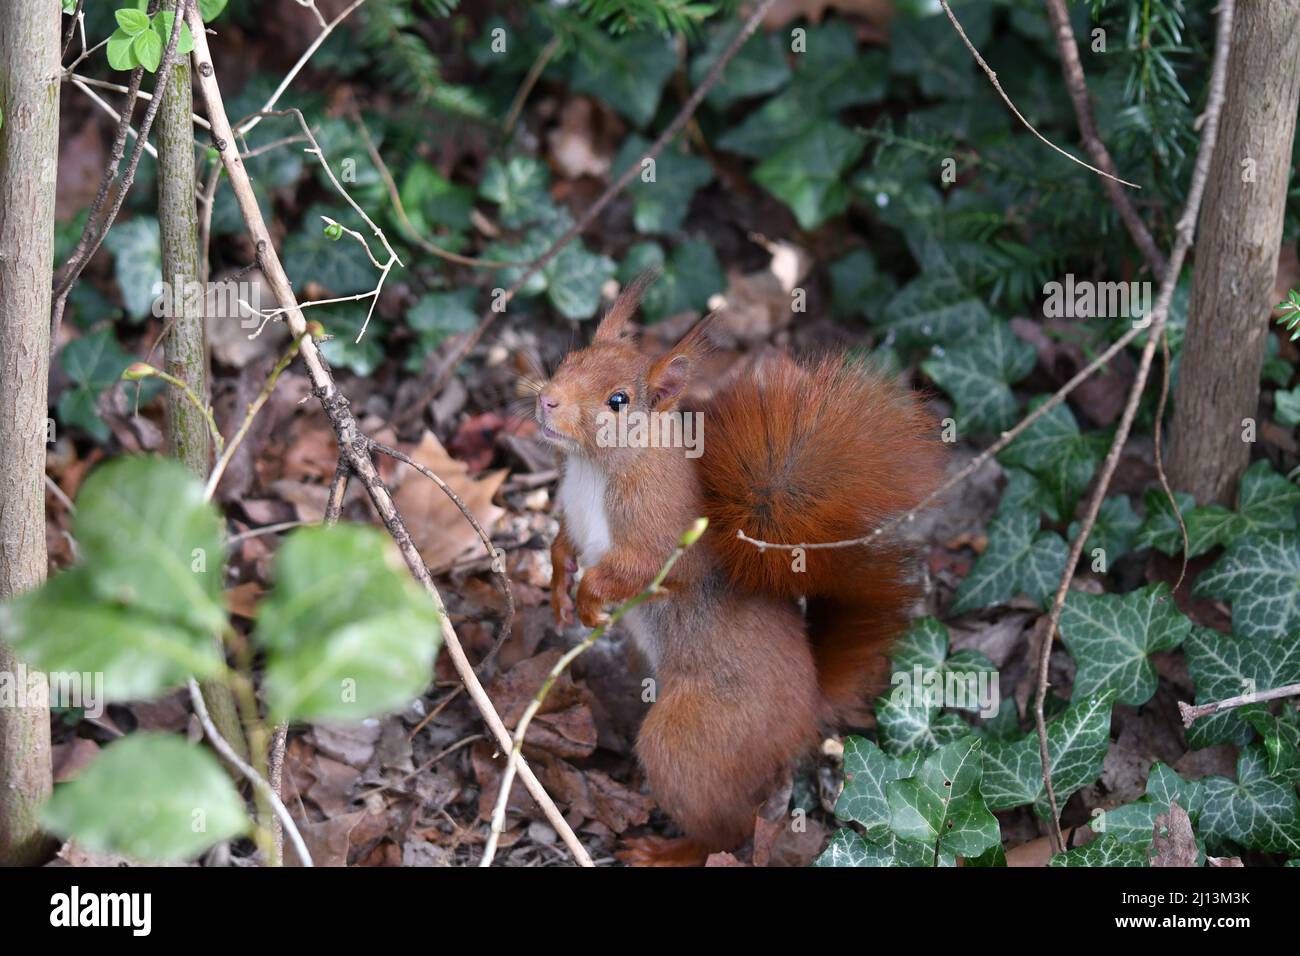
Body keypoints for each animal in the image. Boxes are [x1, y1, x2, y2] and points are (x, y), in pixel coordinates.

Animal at [536, 272, 947, 865]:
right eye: (570, 359)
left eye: (618, 401)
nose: (546, 400)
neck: (596, 469)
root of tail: (807, 713)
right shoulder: (571, 510)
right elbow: (563, 545)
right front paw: (557, 588)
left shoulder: (660, 537)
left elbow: (632, 571)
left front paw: (591, 602)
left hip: (695, 739)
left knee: (724, 828)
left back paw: (666, 851)